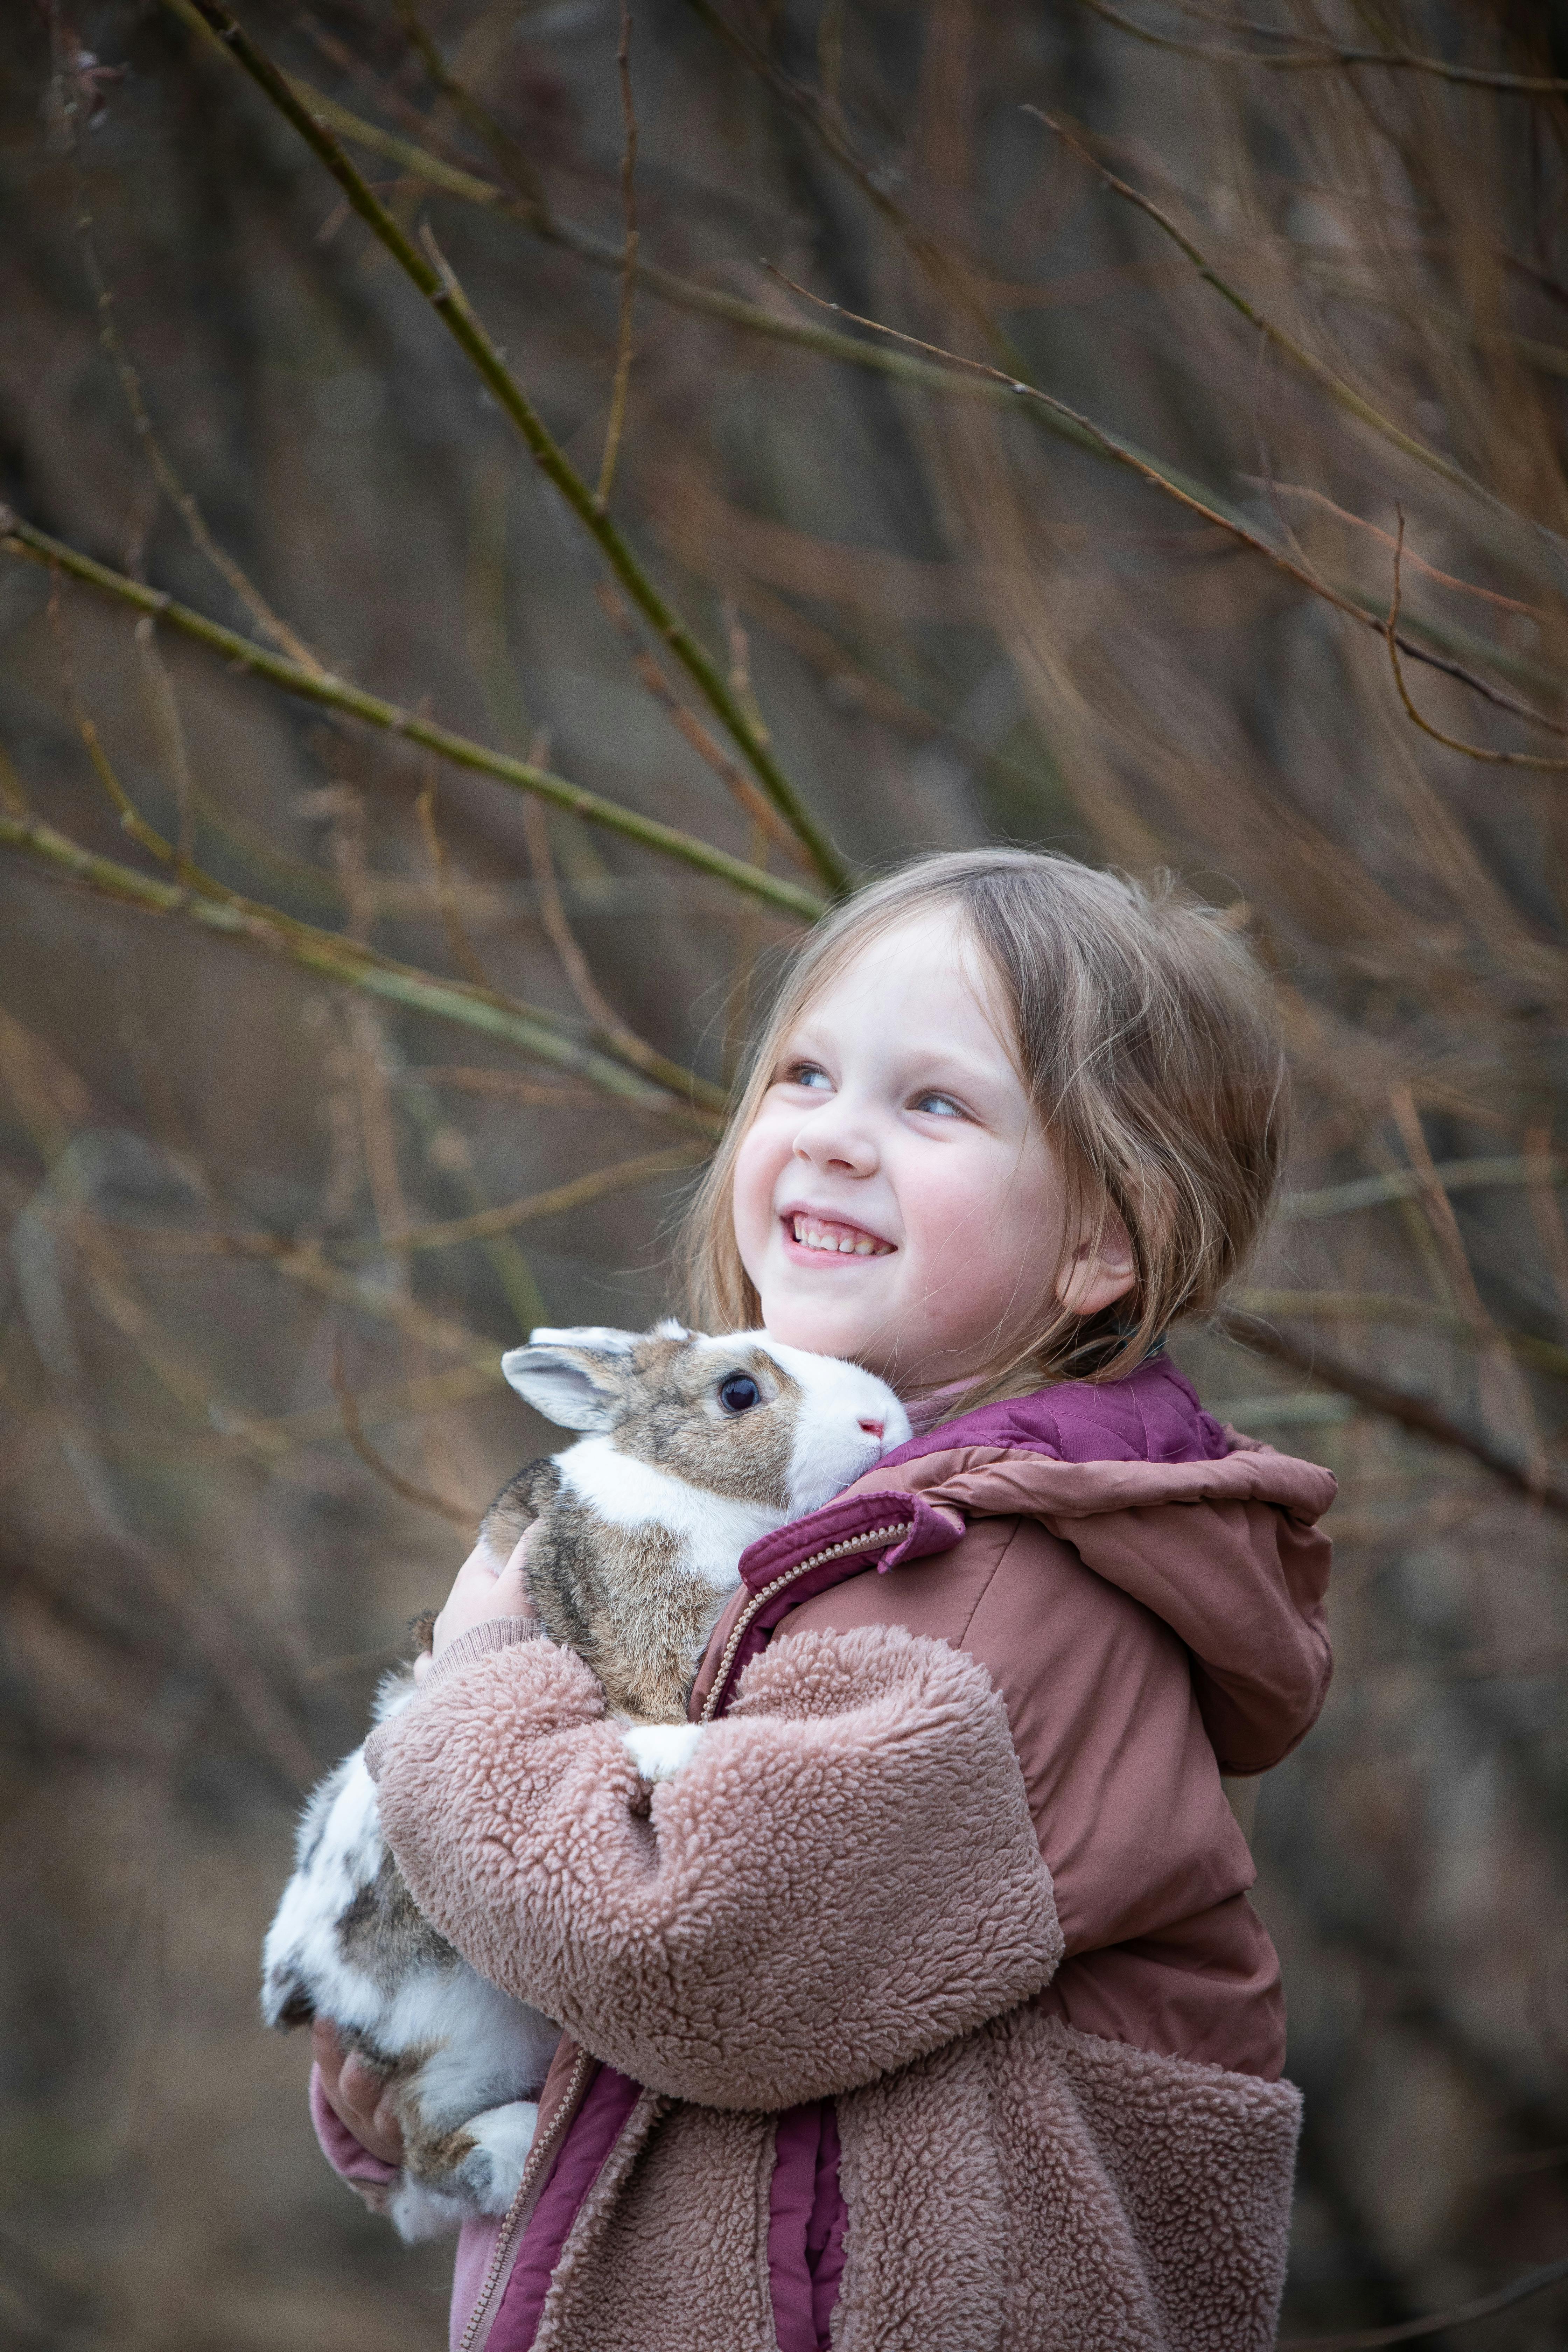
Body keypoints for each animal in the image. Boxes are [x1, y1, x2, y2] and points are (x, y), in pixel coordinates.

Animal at [262, 1321, 909, 2240]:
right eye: (738, 1392)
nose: (880, 1421)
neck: (689, 1488)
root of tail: (303, 1986)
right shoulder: (638, 1644)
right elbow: (644, 1708)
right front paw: (678, 1751)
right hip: (461, 2035)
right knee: (427, 2151)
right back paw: (511, 2149)